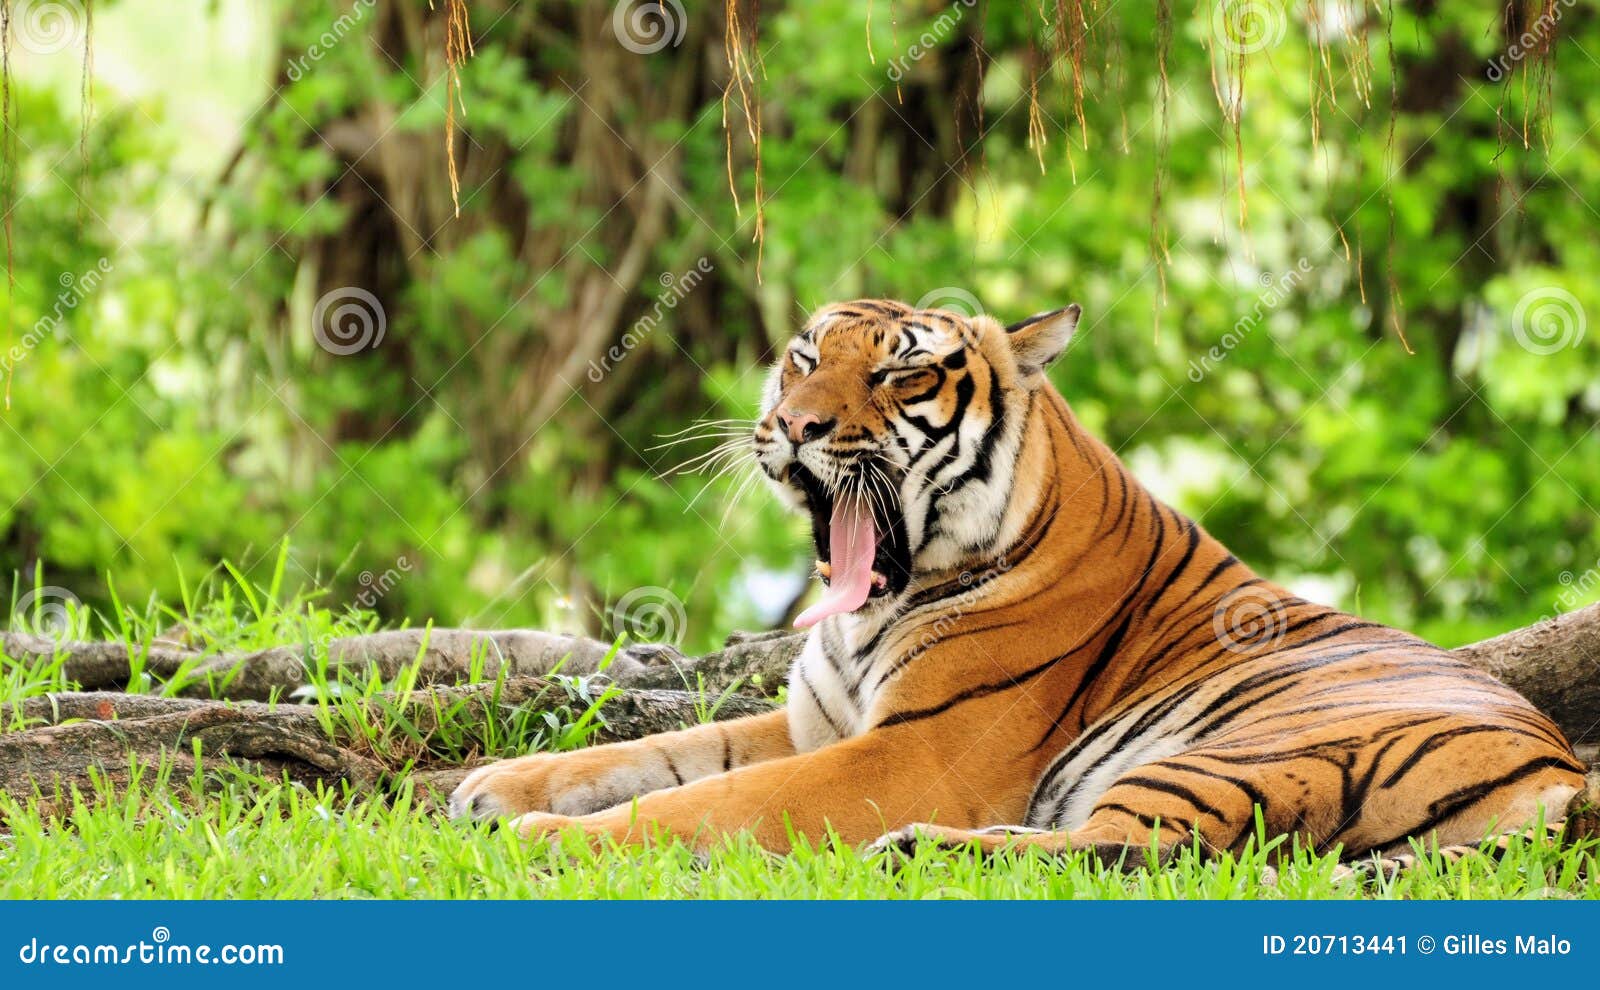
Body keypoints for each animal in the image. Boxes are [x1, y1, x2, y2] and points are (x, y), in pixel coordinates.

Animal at [450, 298, 1587, 866]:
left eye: (901, 372)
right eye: (803, 359)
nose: (795, 426)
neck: (875, 608)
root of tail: (1565, 769)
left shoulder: (907, 753)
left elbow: (709, 802)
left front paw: (547, 837)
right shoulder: (816, 723)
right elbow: (662, 753)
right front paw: (496, 787)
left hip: (1232, 758)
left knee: (1128, 856)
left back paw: (919, 851)